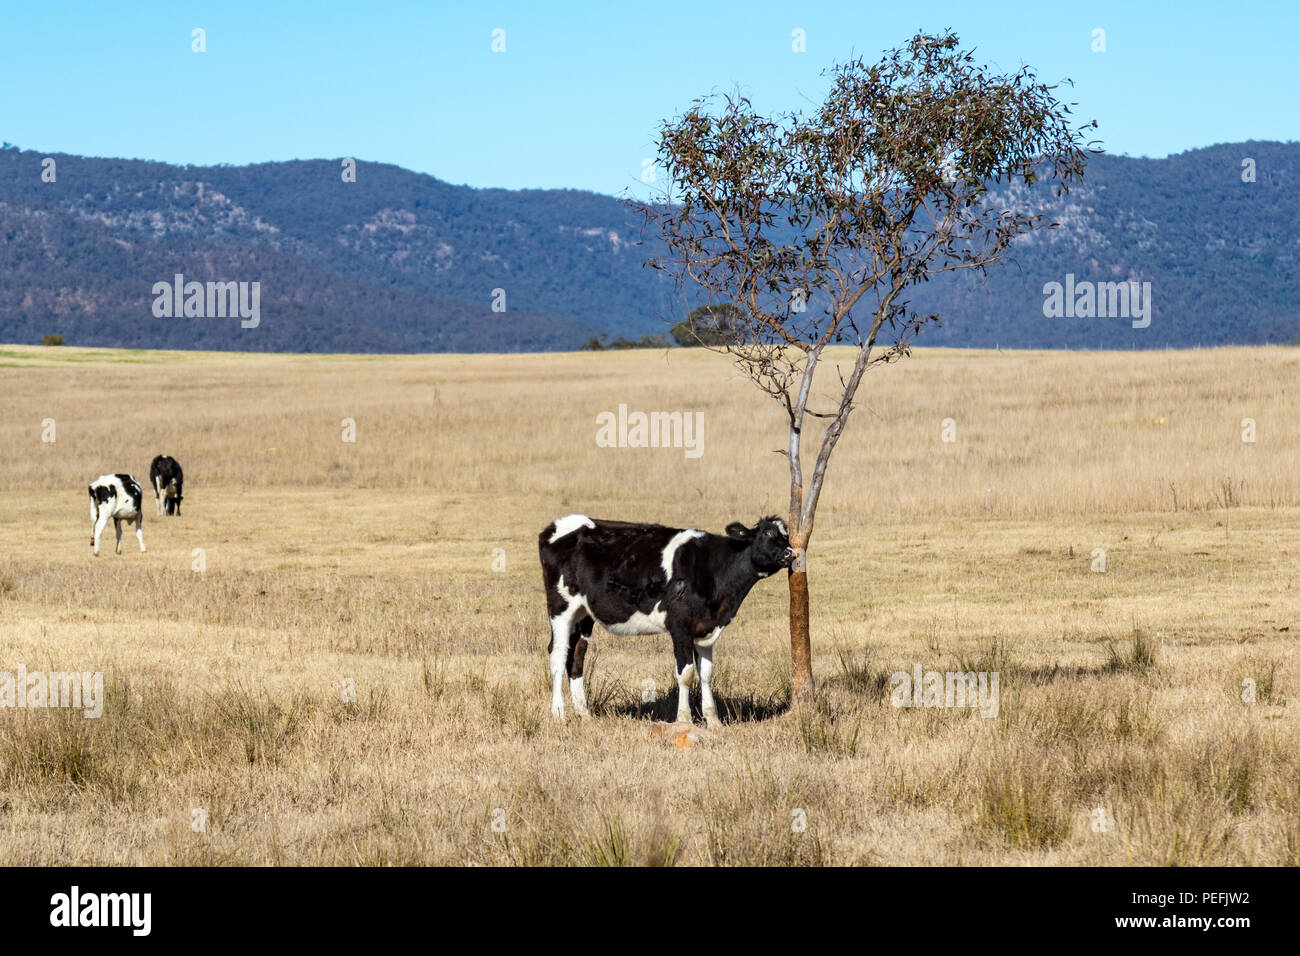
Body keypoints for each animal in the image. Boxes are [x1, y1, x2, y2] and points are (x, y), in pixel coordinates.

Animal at [538, 514, 795, 726]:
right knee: (558, 654)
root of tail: (555, 526)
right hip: (561, 606)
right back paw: (558, 713)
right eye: (767, 533)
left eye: (787, 535)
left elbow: (706, 673)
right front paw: (684, 719)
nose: (791, 553)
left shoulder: (705, 628)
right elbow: (686, 674)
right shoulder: (680, 626)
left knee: (577, 655)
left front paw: (714, 722)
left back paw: (584, 714)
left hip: (584, 613)